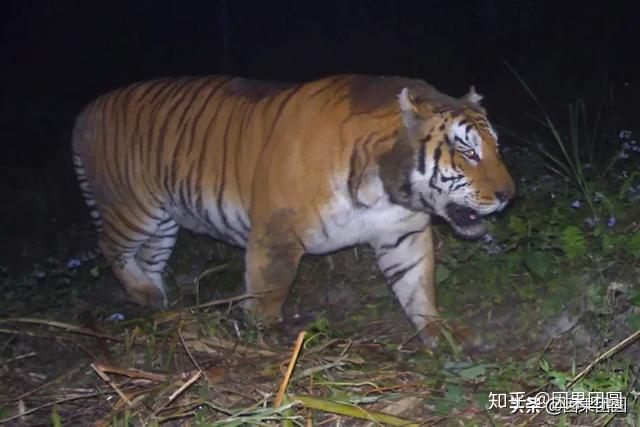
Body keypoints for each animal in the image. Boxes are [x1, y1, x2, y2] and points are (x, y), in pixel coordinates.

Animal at [71, 74, 515, 346]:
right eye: (468, 152)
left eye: (496, 148)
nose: (509, 195)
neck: (384, 191)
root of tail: (87, 110)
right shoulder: (277, 234)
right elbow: (272, 288)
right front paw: (260, 335)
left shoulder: (401, 234)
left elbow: (418, 286)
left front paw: (441, 331)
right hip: (131, 209)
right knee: (112, 249)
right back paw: (144, 293)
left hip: (163, 223)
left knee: (148, 258)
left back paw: (160, 302)